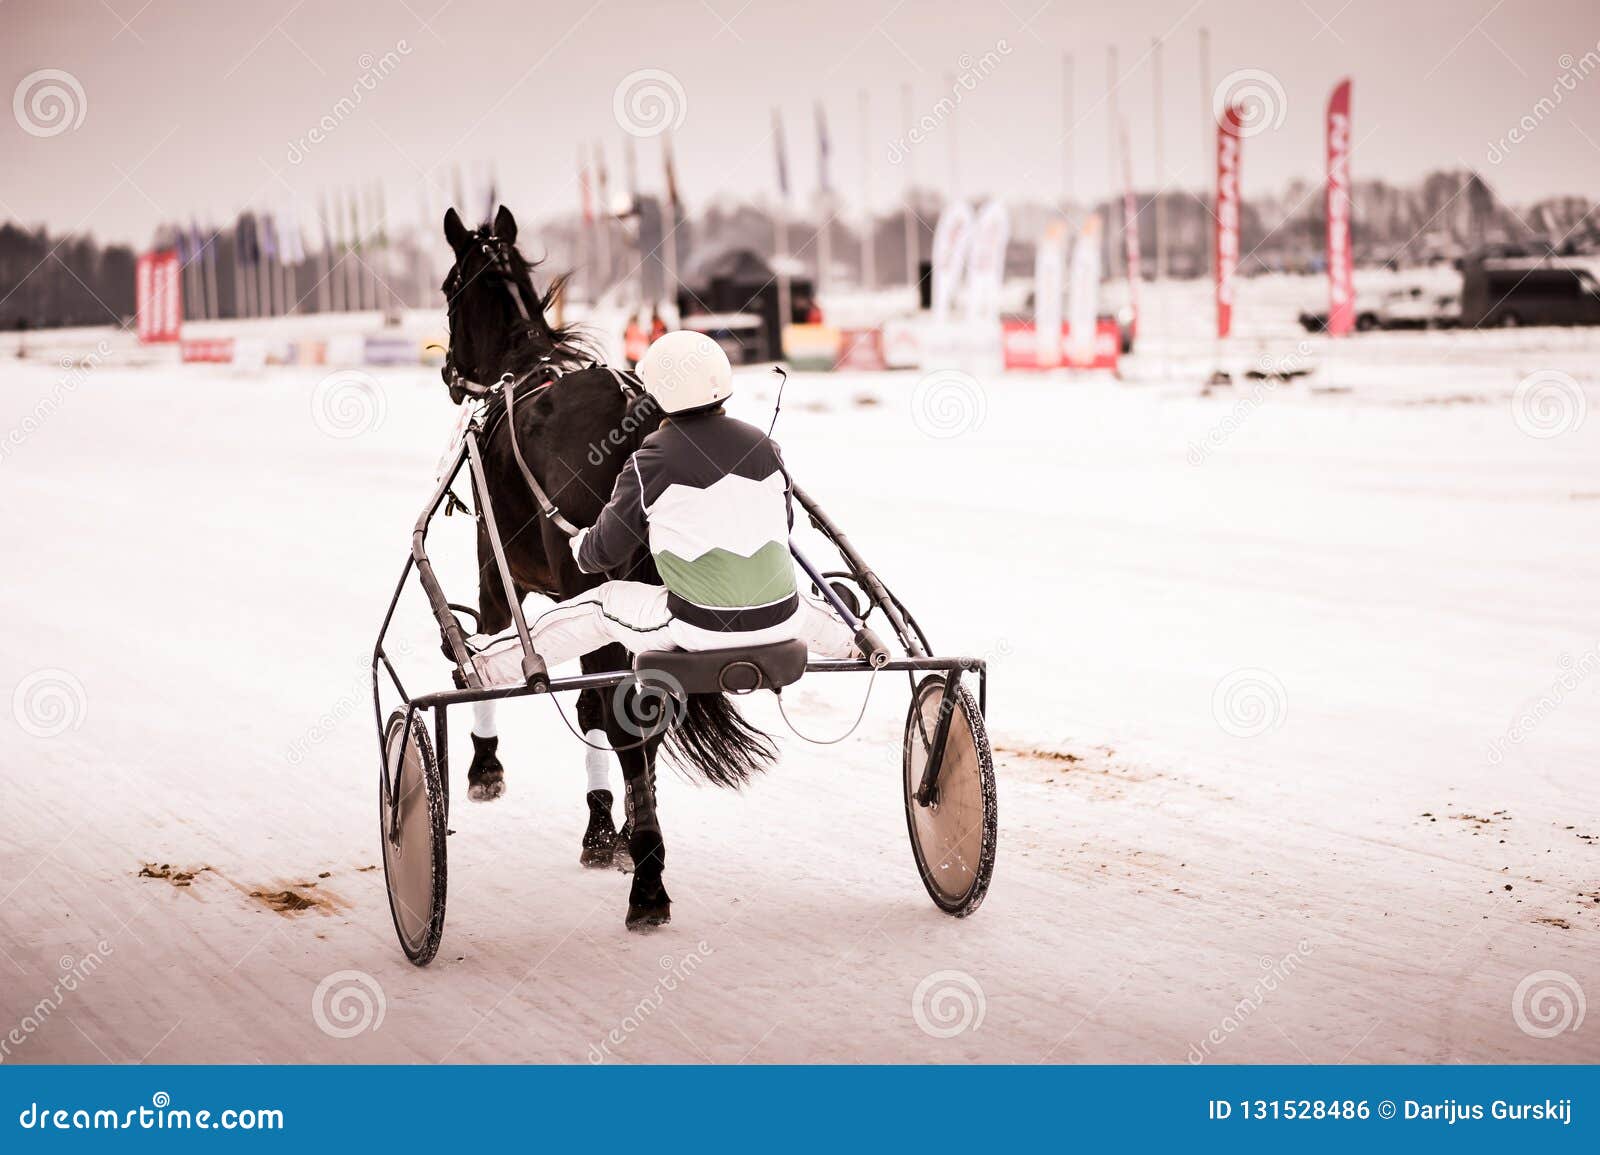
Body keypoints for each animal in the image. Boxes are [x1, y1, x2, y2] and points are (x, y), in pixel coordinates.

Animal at [439, 204, 778, 929]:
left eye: (450, 284)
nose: (451, 371)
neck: (523, 370)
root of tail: (633, 413)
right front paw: (610, 829)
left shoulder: (497, 570)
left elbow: (488, 655)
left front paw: (487, 768)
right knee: (641, 716)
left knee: (621, 716)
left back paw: (647, 883)